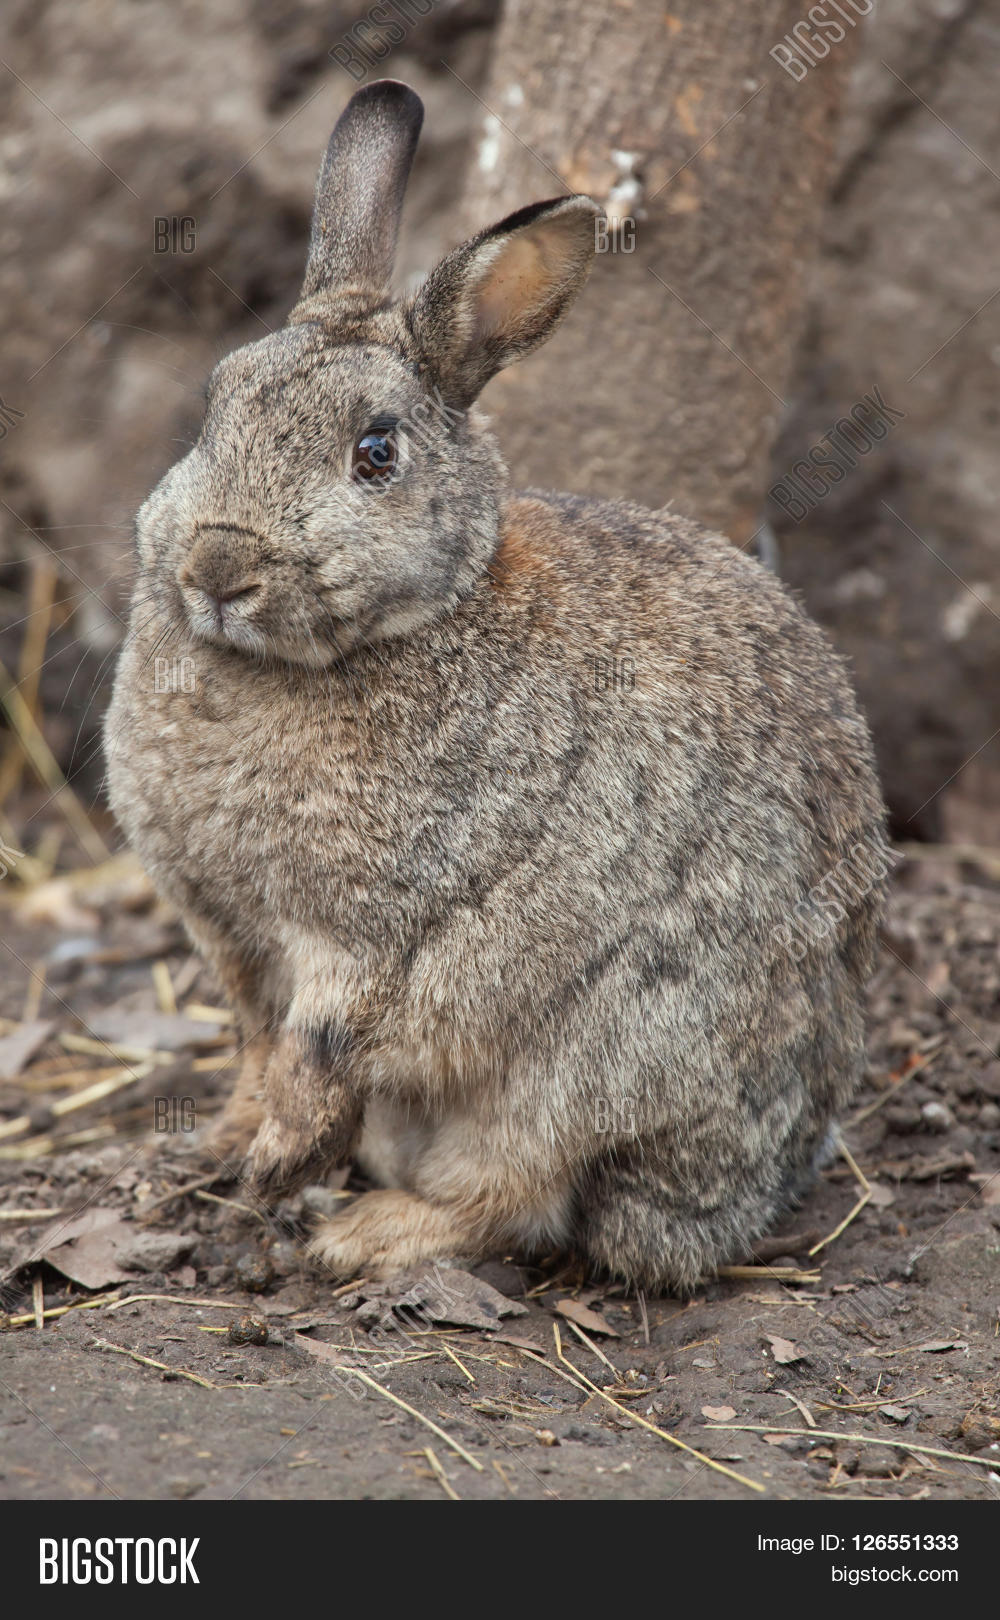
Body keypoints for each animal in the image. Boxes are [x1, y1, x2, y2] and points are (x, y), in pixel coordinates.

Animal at [104, 79, 888, 1292]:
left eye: (376, 453)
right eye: (210, 410)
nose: (218, 567)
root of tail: (727, 1206)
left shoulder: (368, 935)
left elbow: (317, 1045)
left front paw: (276, 1167)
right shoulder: (232, 935)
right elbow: (254, 1041)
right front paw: (223, 1147)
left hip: (589, 1062)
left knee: (516, 1197)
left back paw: (366, 1234)